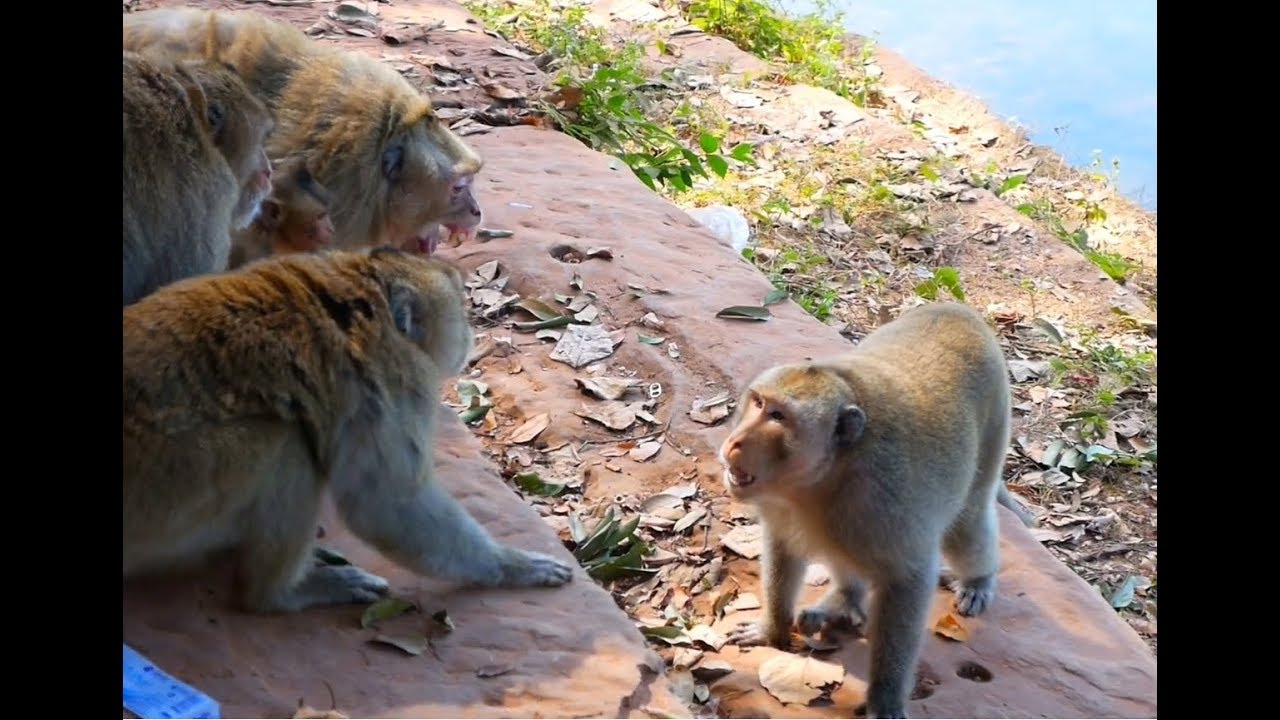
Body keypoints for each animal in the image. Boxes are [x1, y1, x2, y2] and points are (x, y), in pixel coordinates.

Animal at [123, 248, 574, 613]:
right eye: (461, 309)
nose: (470, 334)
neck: (364, 286)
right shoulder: (395, 382)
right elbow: (386, 504)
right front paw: (510, 565)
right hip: (165, 489)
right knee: (288, 451)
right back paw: (277, 594)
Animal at [717, 301, 1036, 719]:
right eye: (757, 403)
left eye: (778, 417)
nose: (735, 442)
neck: (825, 476)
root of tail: (958, 309)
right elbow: (783, 547)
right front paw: (772, 629)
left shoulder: (885, 498)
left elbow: (908, 581)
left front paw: (884, 698)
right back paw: (843, 600)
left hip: (995, 420)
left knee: (967, 522)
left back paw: (979, 579)